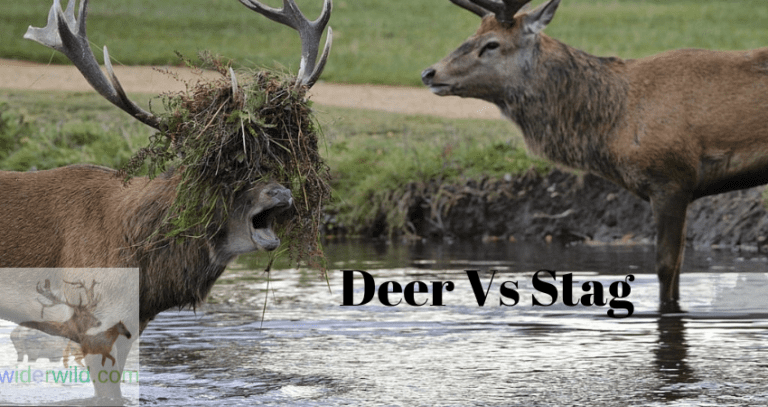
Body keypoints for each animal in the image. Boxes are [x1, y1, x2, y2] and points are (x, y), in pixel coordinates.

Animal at [421, 0, 768, 313]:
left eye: (492, 43)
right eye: (472, 34)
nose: (429, 72)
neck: (616, 122)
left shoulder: (671, 178)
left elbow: (666, 267)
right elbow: (679, 267)